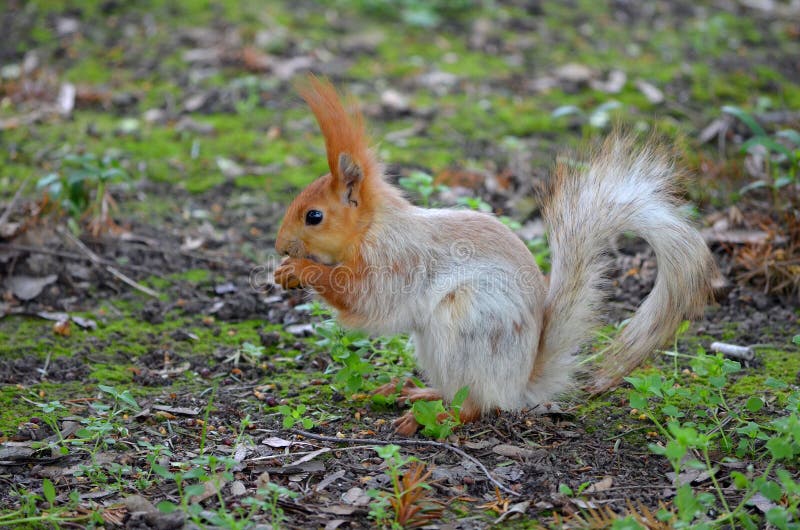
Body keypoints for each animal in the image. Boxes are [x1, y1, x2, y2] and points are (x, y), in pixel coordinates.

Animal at [274, 76, 716, 435]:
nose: (280, 246)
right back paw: (417, 392)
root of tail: (520, 384)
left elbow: (364, 298)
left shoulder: (396, 261)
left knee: (477, 406)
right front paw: (285, 271)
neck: (373, 227)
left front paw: (300, 269)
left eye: (314, 216)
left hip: (467, 327)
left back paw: (432, 417)